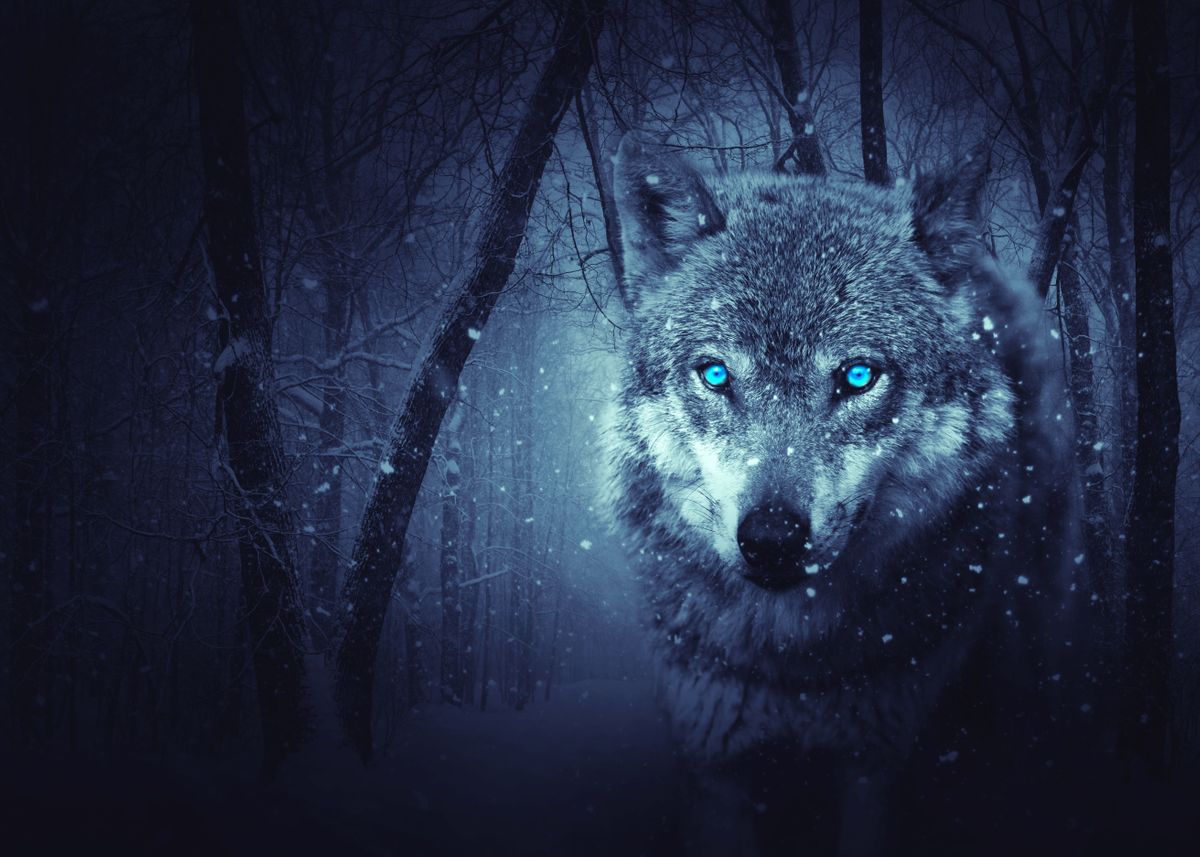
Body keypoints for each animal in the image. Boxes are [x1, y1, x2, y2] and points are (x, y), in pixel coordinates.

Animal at [602, 135, 1073, 855]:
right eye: (716, 374)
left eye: (856, 376)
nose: (771, 538)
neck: (794, 666)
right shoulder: (716, 767)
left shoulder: (877, 766)